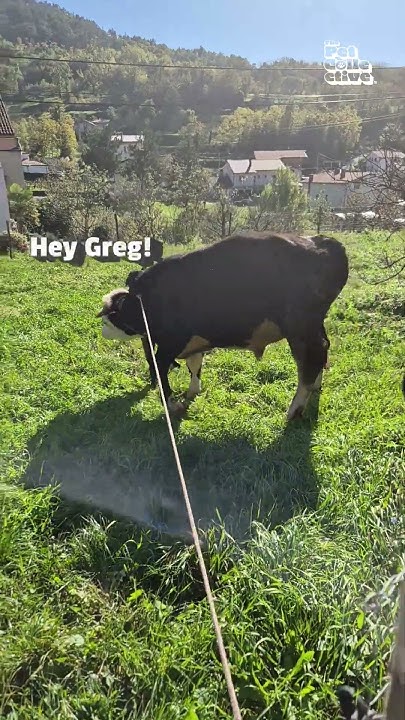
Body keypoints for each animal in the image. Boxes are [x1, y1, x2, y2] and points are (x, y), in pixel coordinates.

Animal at [97, 230, 349, 421]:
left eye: (111, 315)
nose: (103, 328)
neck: (144, 300)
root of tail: (321, 241)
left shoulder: (171, 344)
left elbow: (160, 369)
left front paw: (171, 404)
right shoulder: (193, 342)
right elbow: (194, 365)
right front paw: (191, 393)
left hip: (300, 329)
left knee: (311, 358)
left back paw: (294, 411)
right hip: (315, 324)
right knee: (324, 348)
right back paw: (315, 387)